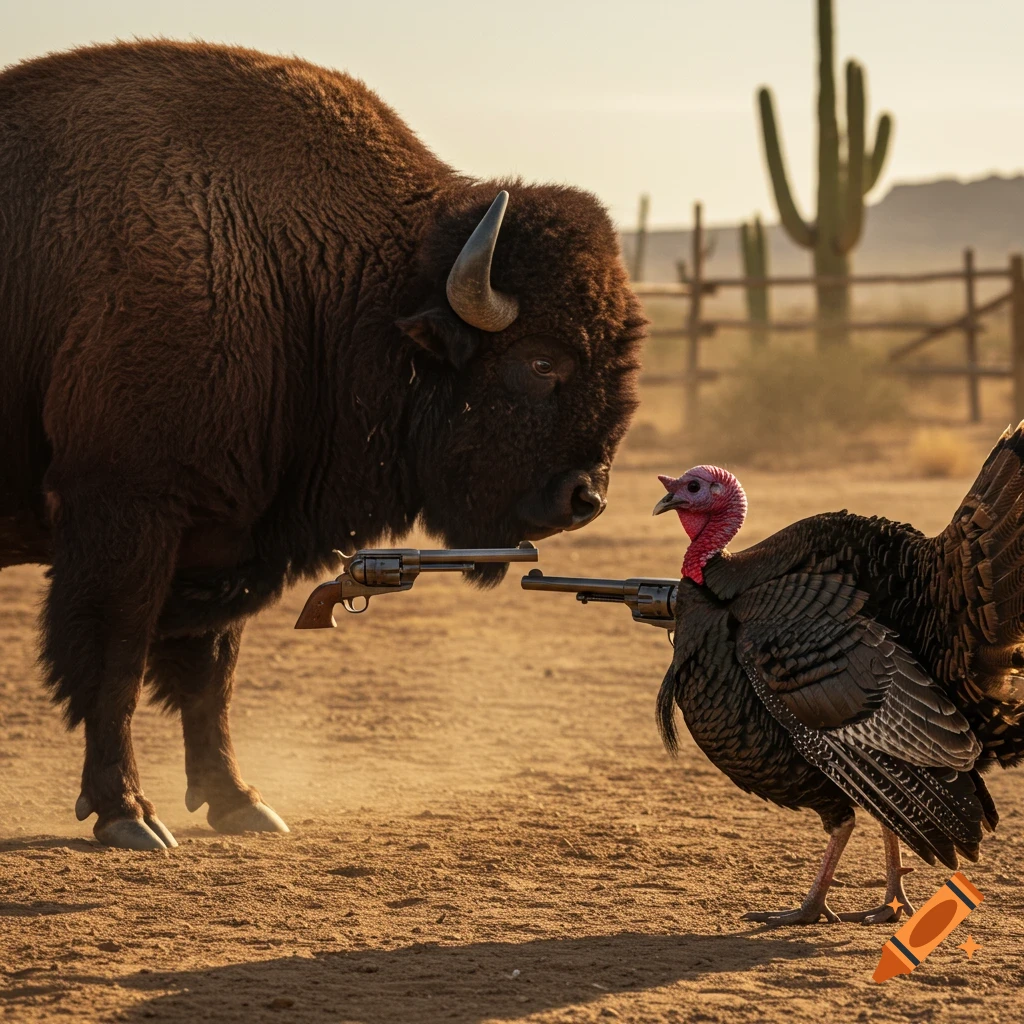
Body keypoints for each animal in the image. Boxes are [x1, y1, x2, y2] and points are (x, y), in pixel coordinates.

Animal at [0, 41, 645, 849]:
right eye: (540, 361)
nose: (586, 496)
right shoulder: (126, 512)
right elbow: (114, 664)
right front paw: (128, 815)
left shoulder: (222, 536)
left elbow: (210, 674)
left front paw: (241, 803)